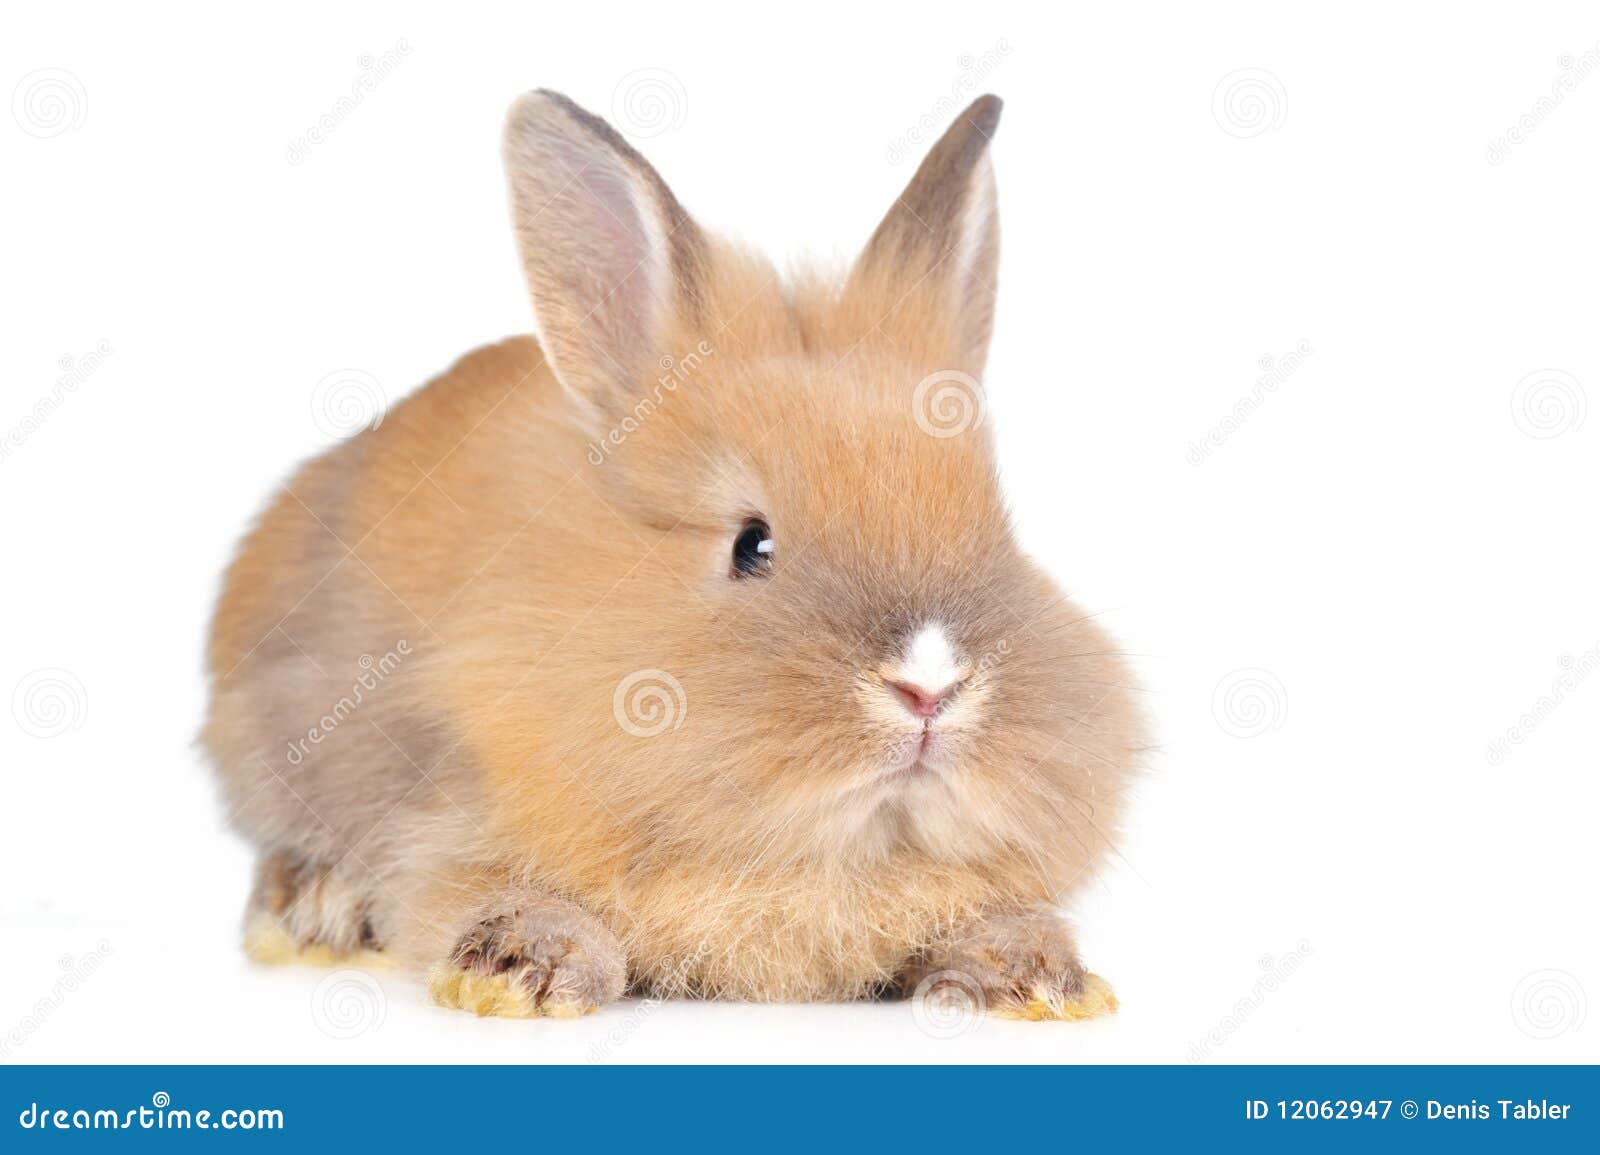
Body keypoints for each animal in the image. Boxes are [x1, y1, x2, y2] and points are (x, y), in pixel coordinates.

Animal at [200, 89, 1146, 1020]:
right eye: (751, 544)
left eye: (1000, 533)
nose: (928, 688)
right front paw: (519, 968)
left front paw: (1034, 976)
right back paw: (308, 913)